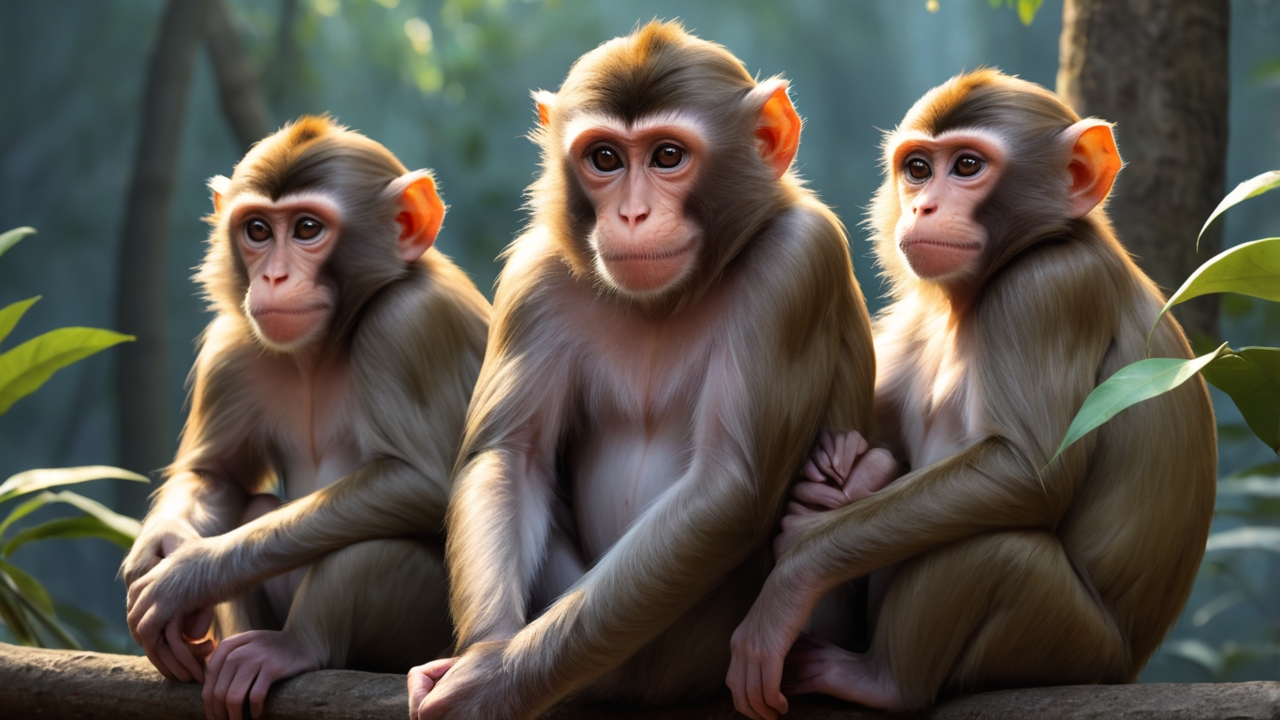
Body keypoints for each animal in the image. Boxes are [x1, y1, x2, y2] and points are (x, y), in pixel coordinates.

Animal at [120, 116, 490, 720]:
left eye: (308, 228)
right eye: (257, 230)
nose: (272, 278)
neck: (323, 347)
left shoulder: (409, 322)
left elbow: (425, 481)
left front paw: (188, 576)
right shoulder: (232, 346)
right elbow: (216, 475)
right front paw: (160, 547)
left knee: (370, 548)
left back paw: (294, 646)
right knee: (254, 505)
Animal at [405, 21, 875, 720]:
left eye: (667, 156)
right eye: (604, 159)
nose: (631, 216)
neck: (667, 300)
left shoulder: (797, 260)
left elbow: (728, 486)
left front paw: (490, 685)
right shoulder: (537, 274)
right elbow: (512, 457)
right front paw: (483, 650)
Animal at [728, 69, 1217, 718]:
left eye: (966, 165)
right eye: (917, 169)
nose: (923, 206)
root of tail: (1125, 668)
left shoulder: (1046, 289)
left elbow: (1030, 473)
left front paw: (792, 573)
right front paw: (848, 478)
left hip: (1066, 646)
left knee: (991, 548)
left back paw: (883, 680)